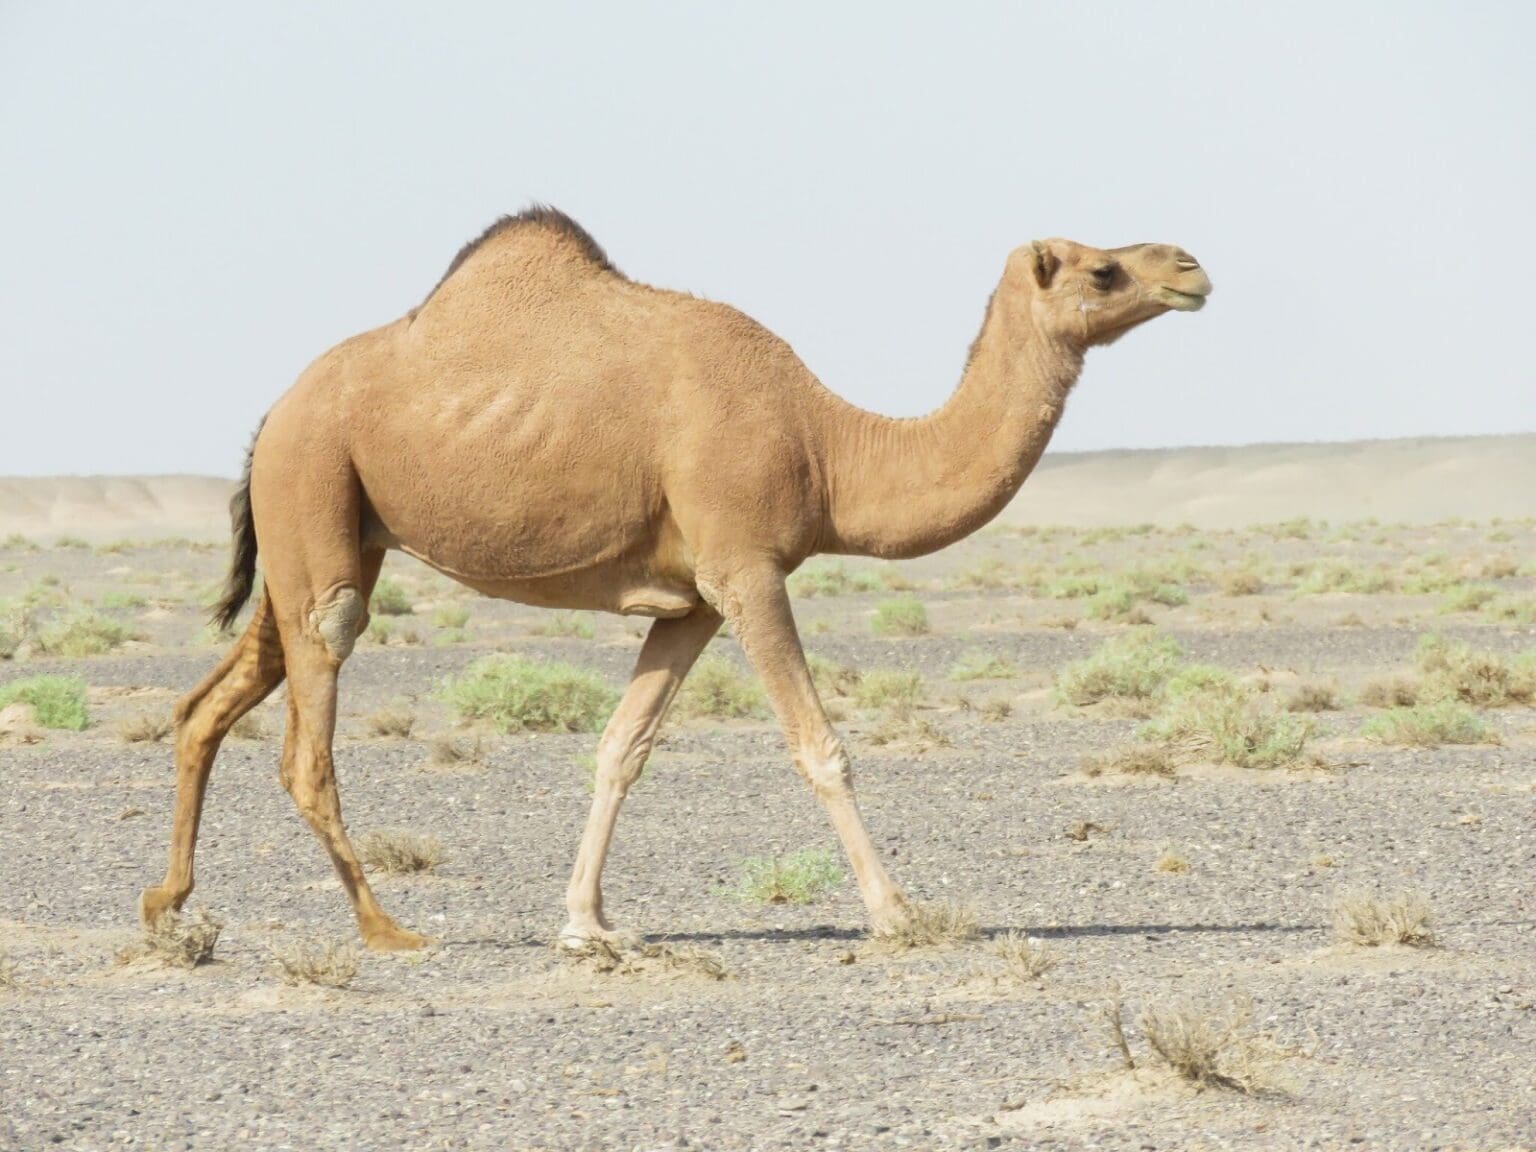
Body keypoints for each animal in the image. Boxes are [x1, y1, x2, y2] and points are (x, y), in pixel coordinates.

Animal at [140, 206, 1211, 952]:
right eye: (1103, 267)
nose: (1192, 267)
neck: (826, 446)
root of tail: (273, 412)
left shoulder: (693, 600)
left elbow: (623, 748)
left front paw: (587, 925)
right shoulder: (747, 569)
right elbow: (820, 746)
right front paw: (898, 913)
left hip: (325, 527)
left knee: (209, 703)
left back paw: (169, 906)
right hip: (316, 486)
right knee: (310, 727)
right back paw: (385, 928)